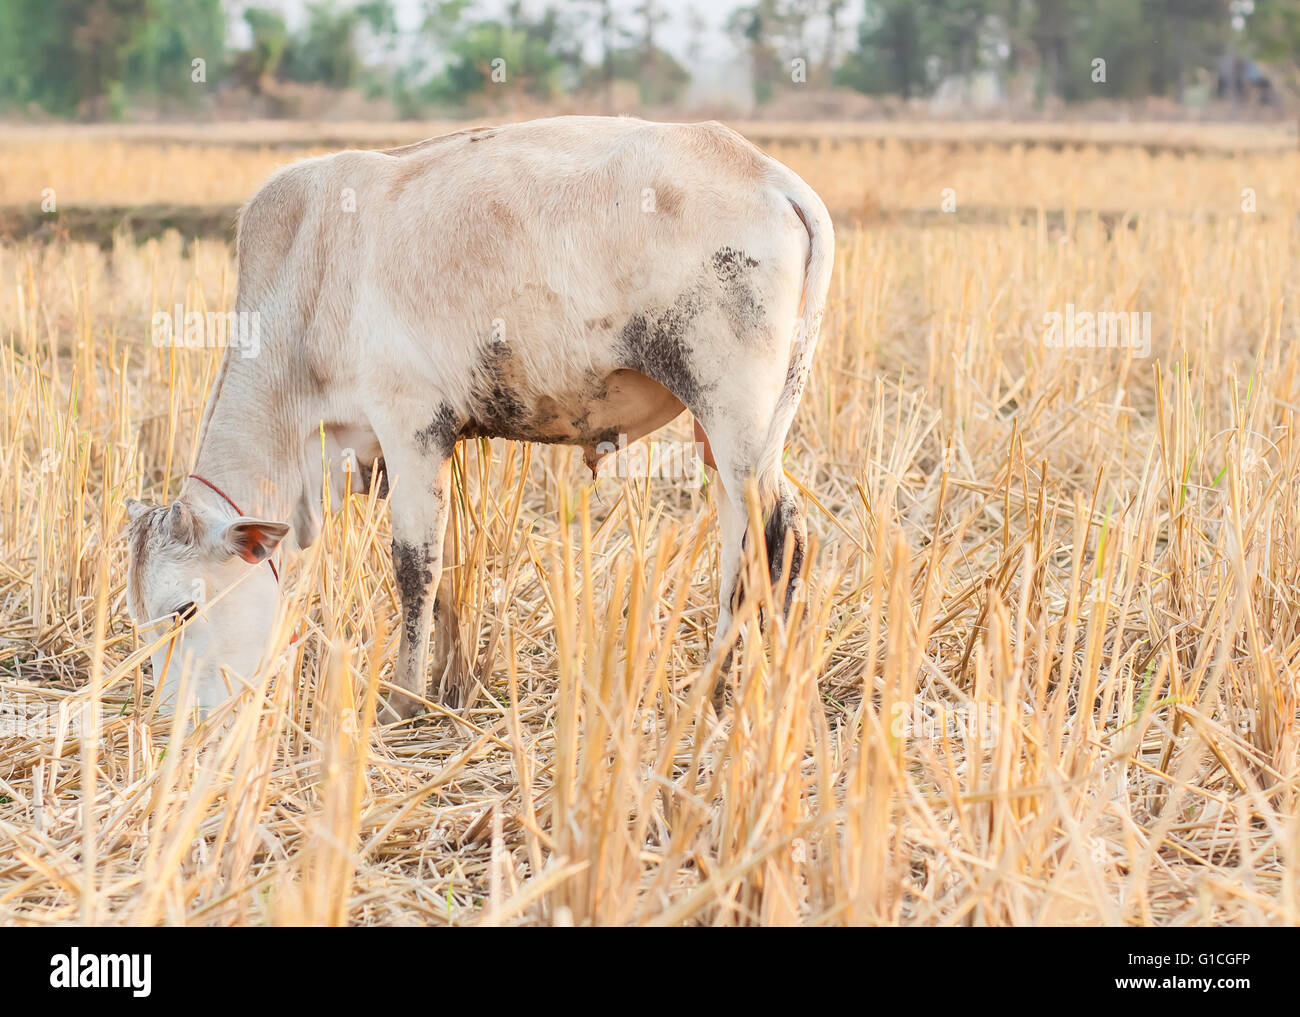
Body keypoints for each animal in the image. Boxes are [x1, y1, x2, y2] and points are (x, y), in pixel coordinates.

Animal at [123, 116, 834, 721]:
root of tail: (770, 175)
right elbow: (443, 574)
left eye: (183, 611)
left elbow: (414, 567)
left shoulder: (410, 427)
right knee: (757, 540)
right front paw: (446, 683)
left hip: (735, 418)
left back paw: (739, 691)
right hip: (728, 436)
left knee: (774, 540)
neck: (309, 279)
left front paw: (404, 701)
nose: (173, 721)